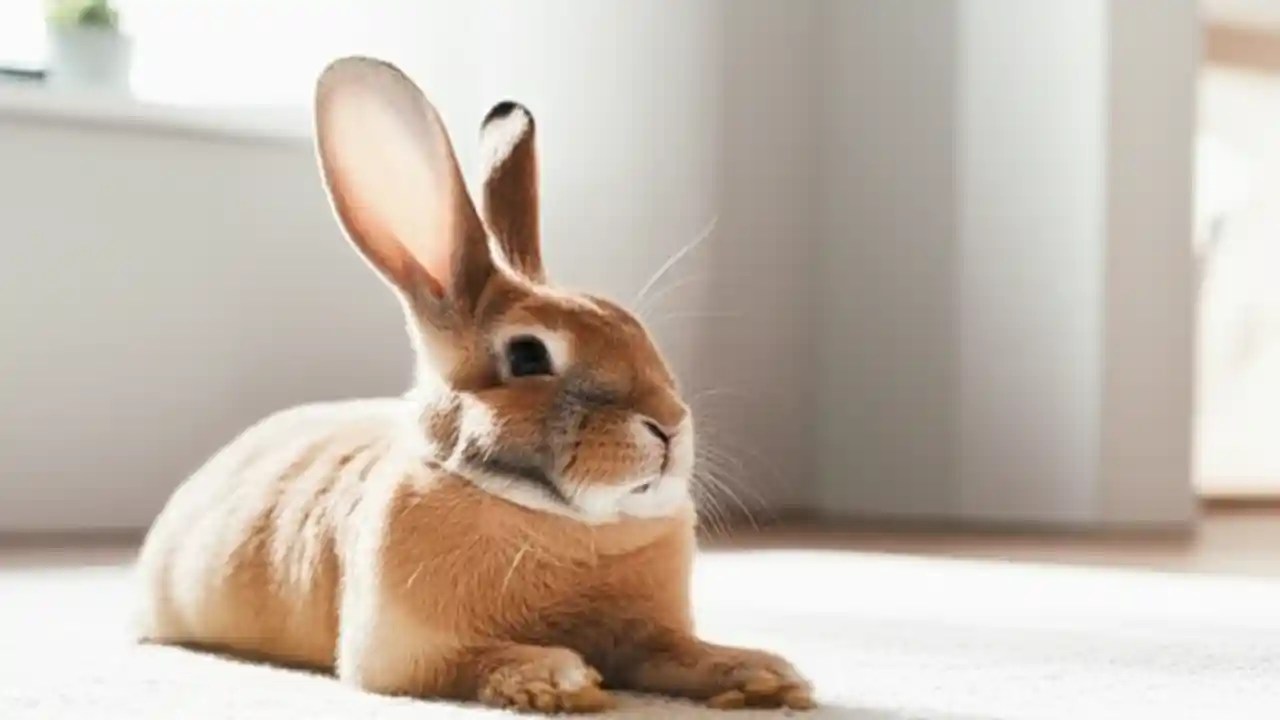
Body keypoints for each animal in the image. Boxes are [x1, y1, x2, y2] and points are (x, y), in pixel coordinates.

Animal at [134, 57, 813, 714]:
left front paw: (763, 676)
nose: (669, 424)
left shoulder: (650, 637)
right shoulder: (409, 654)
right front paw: (557, 678)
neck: (565, 523)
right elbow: (474, 662)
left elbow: (677, 653)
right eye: (528, 355)